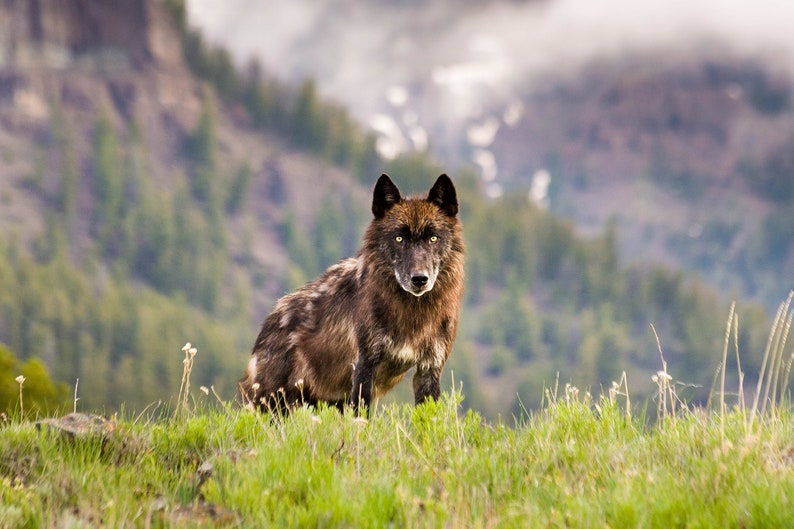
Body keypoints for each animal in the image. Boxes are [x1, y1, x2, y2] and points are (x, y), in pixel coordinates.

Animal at [240, 173, 465, 414]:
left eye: (433, 238)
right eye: (399, 239)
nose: (419, 279)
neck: (411, 314)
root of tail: (272, 316)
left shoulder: (429, 368)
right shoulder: (365, 364)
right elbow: (361, 417)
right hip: (274, 403)